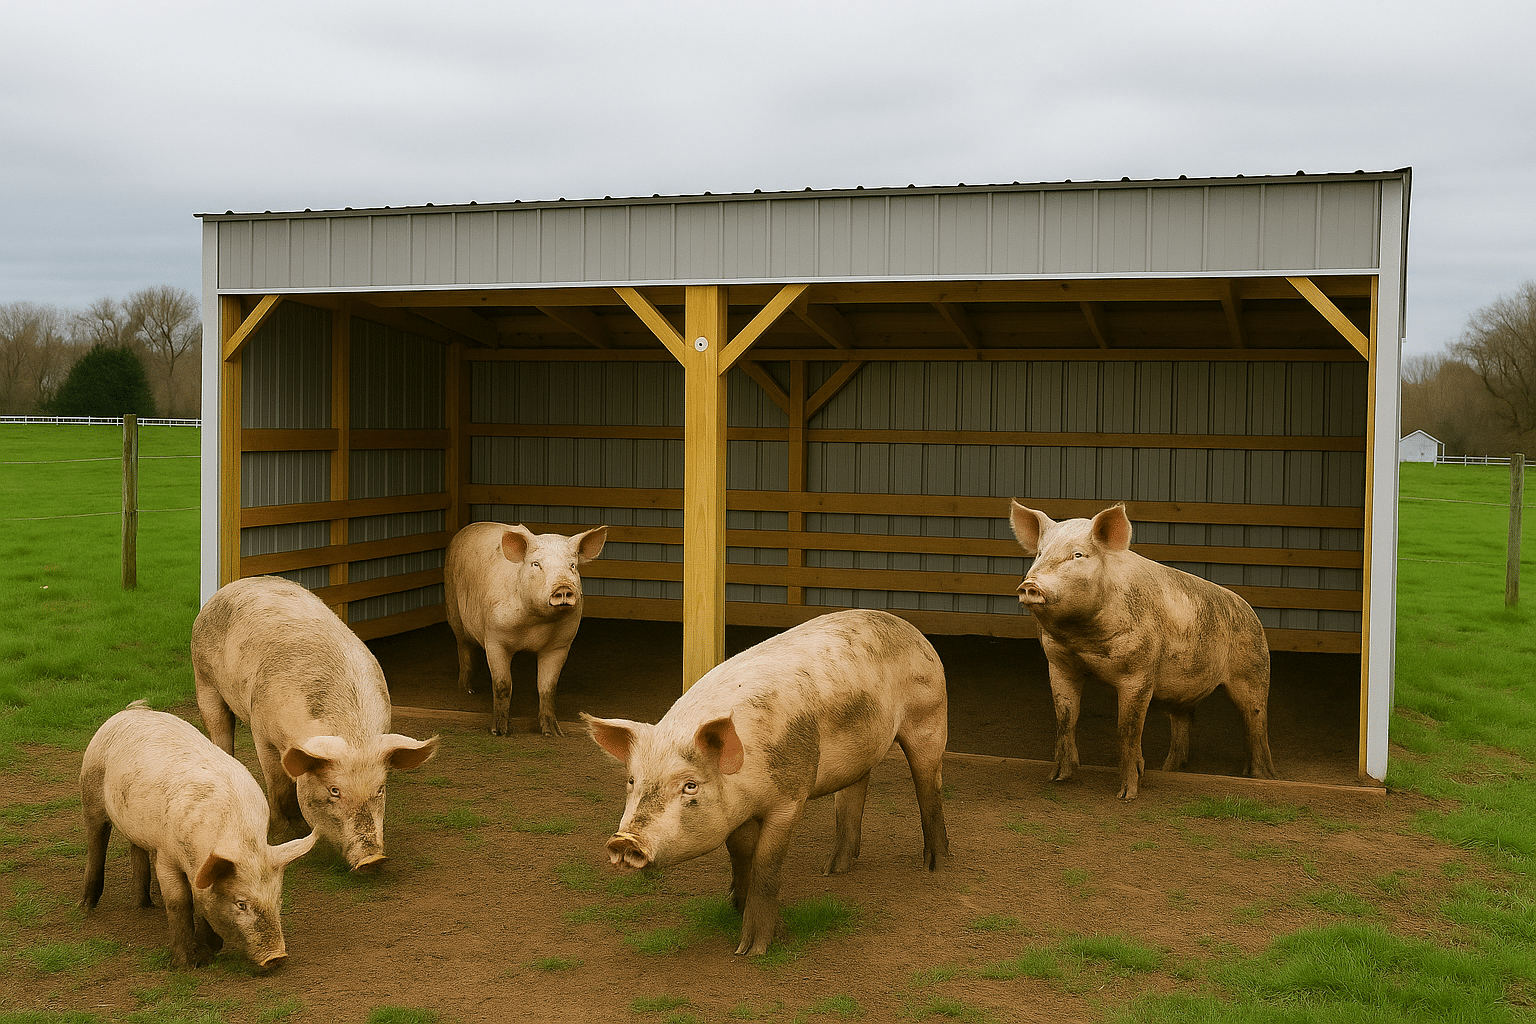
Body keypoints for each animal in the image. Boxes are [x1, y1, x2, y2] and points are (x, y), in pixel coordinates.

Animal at [80, 701, 317, 968]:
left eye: (278, 898)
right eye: (241, 903)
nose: (276, 957)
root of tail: (131, 710)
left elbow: (201, 902)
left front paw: (207, 953)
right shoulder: (166, 854)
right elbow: (179, 902)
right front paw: (184, 964)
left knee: (136, 847)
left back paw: (144, 905)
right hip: (90, 787)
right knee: (96, 840)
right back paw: (86, 907)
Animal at [191, 575, 440, 869]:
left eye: (380, 789)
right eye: (335, 790)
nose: (373, 858)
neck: (352, 735)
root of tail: (237, 584)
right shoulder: (262, 730)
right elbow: (279, 784)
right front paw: (282, 832)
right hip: (203, 677)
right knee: (219, 729)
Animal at [443, 521, 608, 737]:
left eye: (572, 566)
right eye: (536, 564)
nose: (563, 588)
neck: (535, 624)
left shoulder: (560, 645)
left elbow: (548, 688)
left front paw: (553, 733)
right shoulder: (494, 639)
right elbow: (503, 685)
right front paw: (499, 732)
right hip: (453, 609)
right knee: (463, 648)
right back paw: (467, 690)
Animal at [583, 608, 950, 956]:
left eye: (690, 785)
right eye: (632, 781)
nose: (624, 841)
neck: (747, 792)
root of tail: (908, 627)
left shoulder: (790, 797)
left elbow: (766, 863)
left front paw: (754, 949)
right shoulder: (737, 812)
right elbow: (741, 854)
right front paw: (735, 906)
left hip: (930, 716)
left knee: (928, 786)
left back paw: (935, 865)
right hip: (860, 751)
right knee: (856, 788)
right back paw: (833, 870)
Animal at [1009, 500, 1276, 800]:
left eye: (1078, 555)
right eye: (1040, 553)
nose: (1030, 586)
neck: (1083, 638)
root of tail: (1249, 609)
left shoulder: (1139, 671)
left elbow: (1127, 729)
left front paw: (1126, 795)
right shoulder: (1059, 664)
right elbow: (1065, 719)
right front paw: (1057, 778)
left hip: (1254, 669)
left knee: (1255, 720)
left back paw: (1261, 777)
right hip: (1182, 690)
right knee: (1184, 720)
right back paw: (1170, 769)